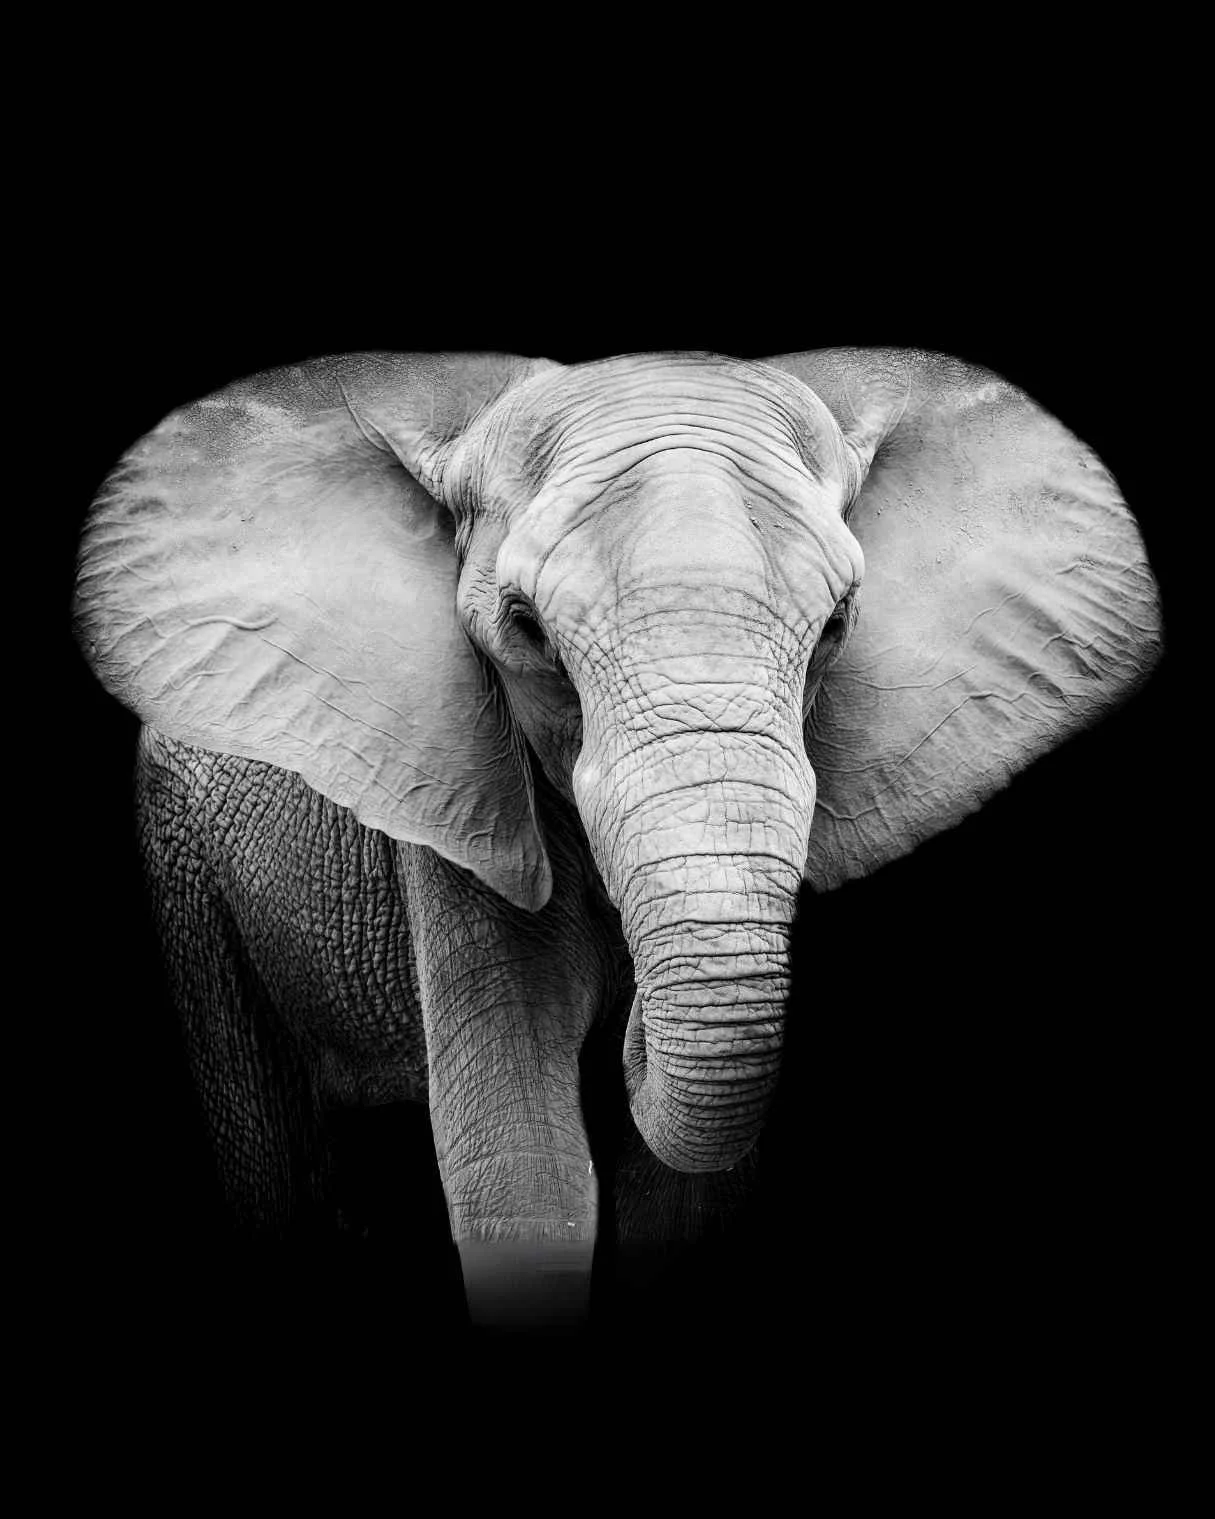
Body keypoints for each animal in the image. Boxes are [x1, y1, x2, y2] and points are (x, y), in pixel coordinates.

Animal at [72, 347, 1163, 1333]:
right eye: (524, 628)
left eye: (838, 626)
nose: (633, 1016)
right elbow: (521, 1158)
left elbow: (672, 1207)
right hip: (182, 853)